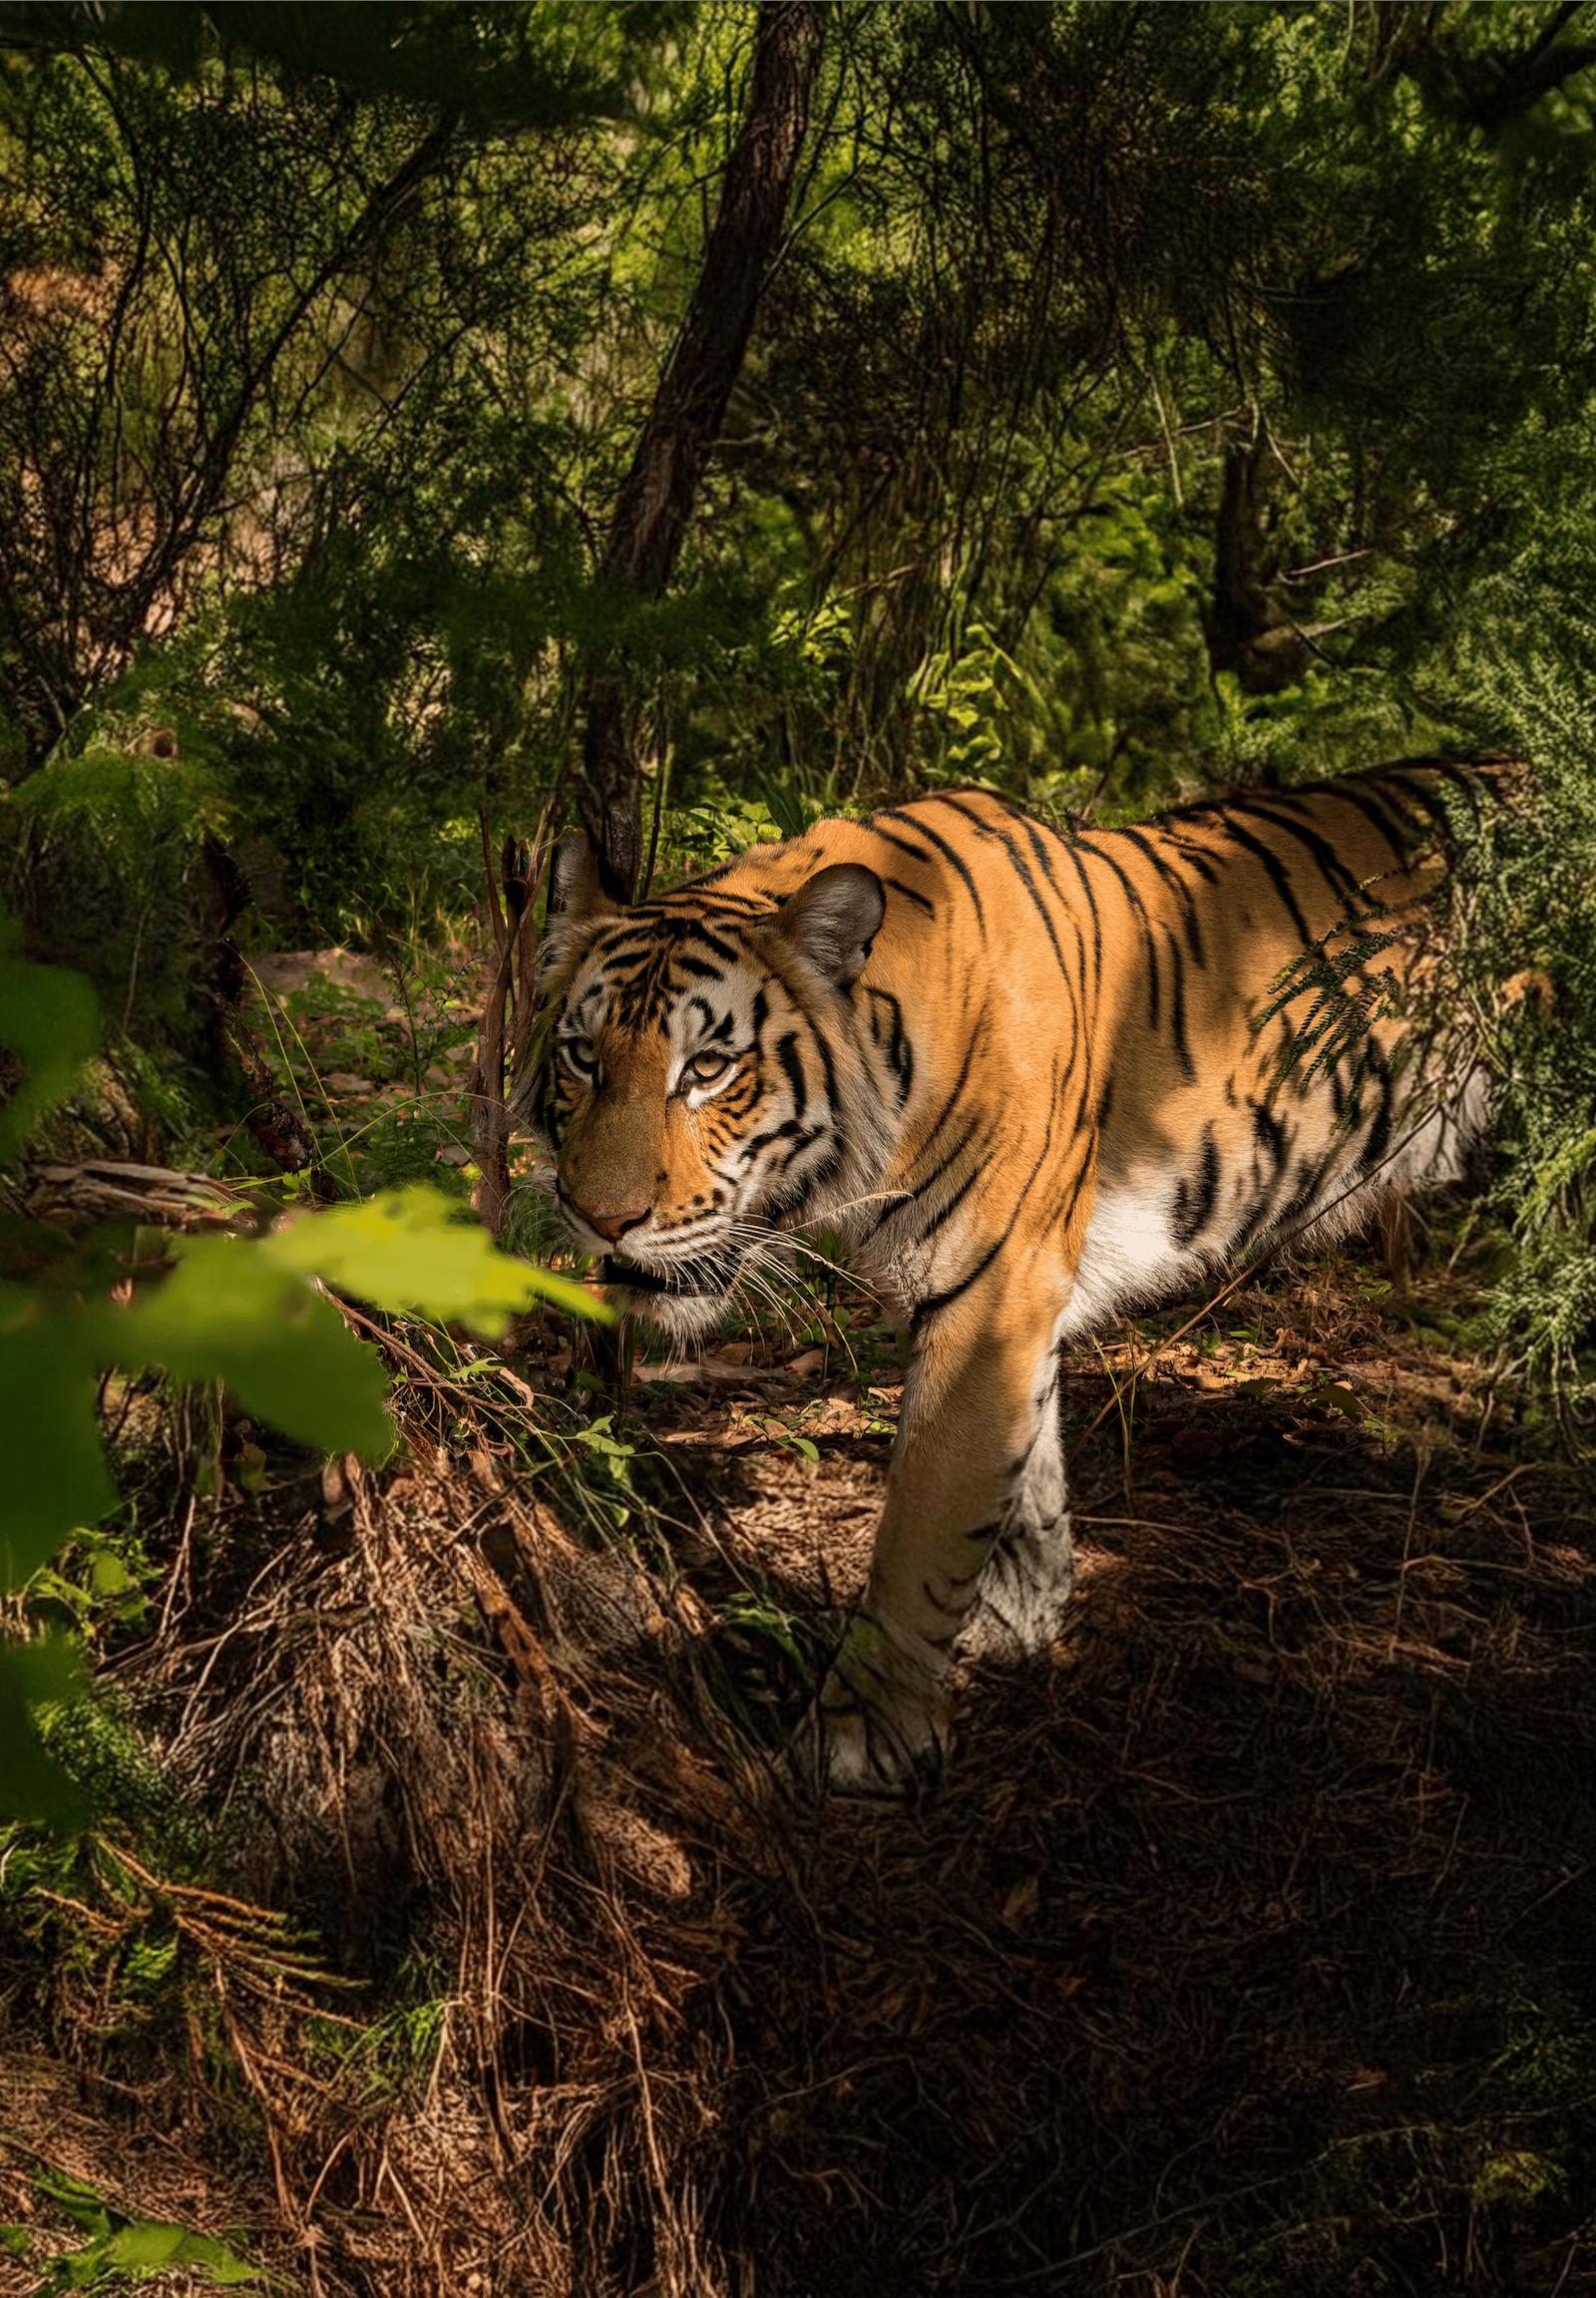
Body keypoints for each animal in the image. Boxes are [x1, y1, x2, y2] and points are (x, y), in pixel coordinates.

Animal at [514, 761, 1494, 1796]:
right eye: (581, 1056)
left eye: (706, 1069)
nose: (600, 1215)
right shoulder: (1013, 1297)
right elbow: (1024, 1474)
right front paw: (1018, 1620)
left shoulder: (991, 1287)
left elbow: (927, 1515)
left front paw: (867, 1729)